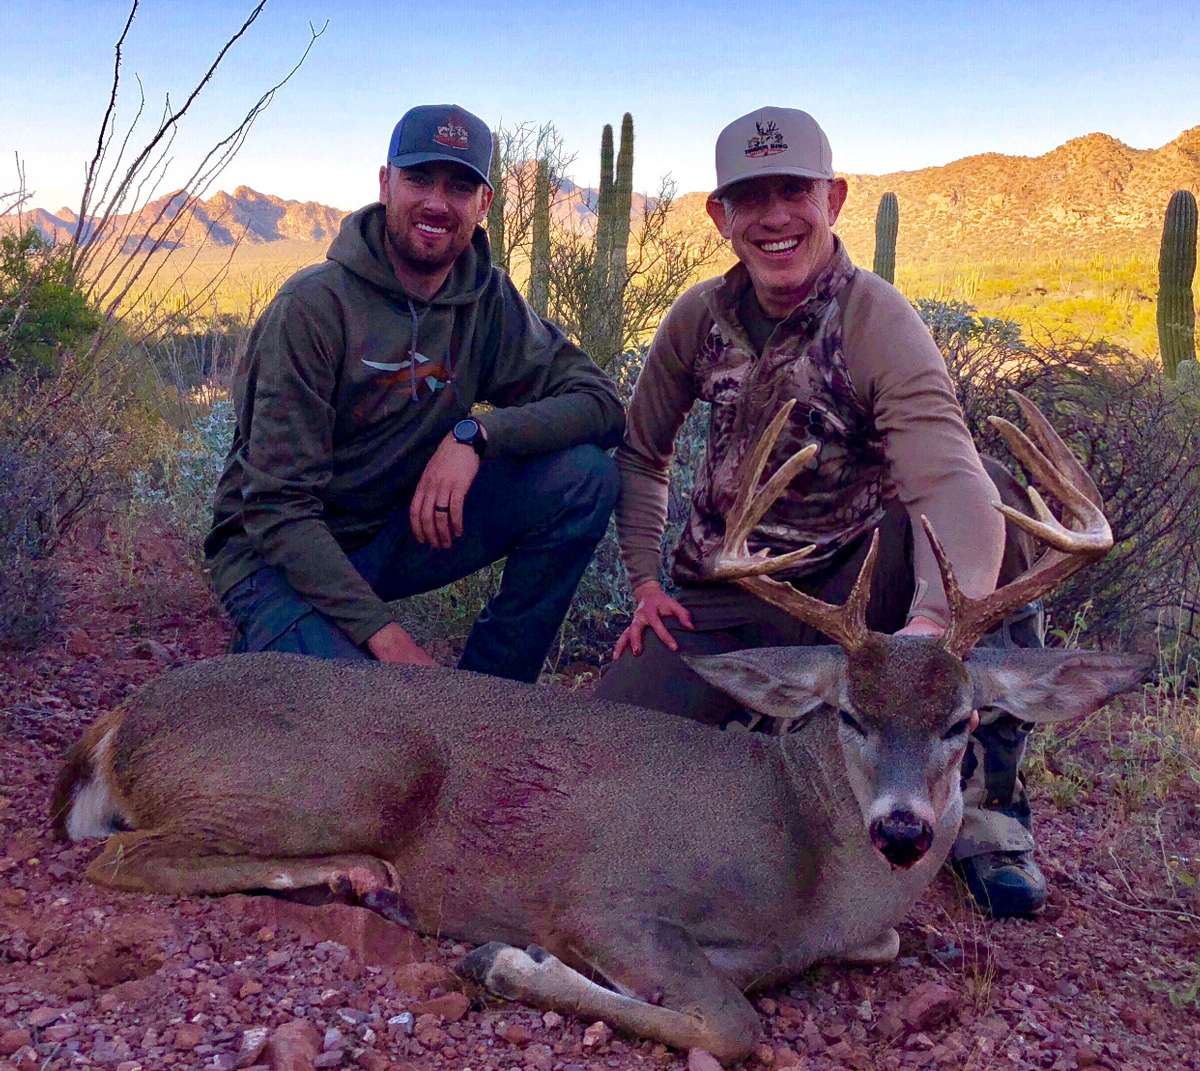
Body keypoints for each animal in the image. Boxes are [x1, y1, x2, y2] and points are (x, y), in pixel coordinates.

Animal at [50, 393, 1148, 1065]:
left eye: (965, 721)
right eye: (848, 711)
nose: (906, 829)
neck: (804, 863)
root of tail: (117, 722)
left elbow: (847, 961)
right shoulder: (605, 898)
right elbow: (731, 1022)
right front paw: (508, 963)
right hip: (350, 770)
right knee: (123, 859)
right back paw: (348, 875)